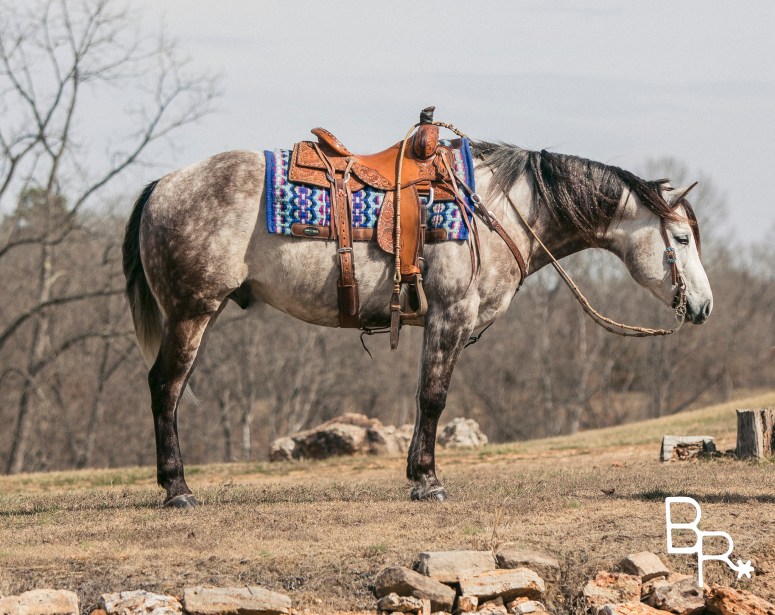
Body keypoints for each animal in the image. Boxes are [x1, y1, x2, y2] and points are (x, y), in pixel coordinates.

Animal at [122, 138, 712, 508]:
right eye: (681, 239)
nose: (704, 307)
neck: (496, 208)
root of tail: (162, 185)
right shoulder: (450, 316)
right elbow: (432, 397)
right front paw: (427, 481)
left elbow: (426, 396)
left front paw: (416, 473)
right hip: (192, 313)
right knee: (166, 388)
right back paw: (177, 489)